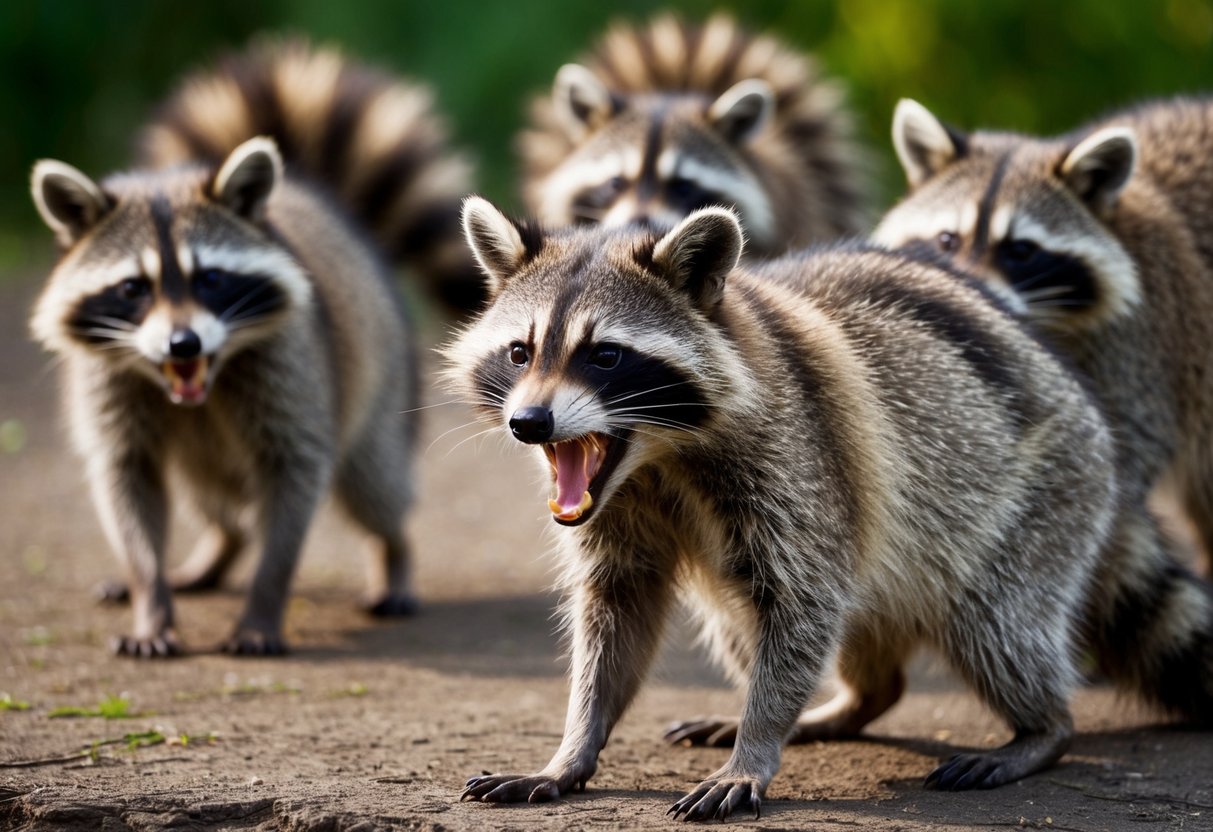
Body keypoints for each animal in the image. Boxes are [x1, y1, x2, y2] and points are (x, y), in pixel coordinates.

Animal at [27, 41, 466, 656]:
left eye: (210, 278)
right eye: (134, 288)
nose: (181, 343)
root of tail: (316, 194)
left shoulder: (291, 365)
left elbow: (295, 475)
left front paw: (263, 604)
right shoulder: (110, 381)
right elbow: (126, 481)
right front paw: (149, 598)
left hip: (383, 377)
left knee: (374, 484)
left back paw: (393, 554)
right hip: (204, 452)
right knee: (211, 495)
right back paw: (218, 549)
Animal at [443, 198, 1155, 818]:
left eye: (606, 355)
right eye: (520, 352)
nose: (529, 424)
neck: (657, 456)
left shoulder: (802, 462)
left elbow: (803, 604)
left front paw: (753, 749)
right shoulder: (617, 513)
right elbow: (617, 610)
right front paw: (573, 748)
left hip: (1045, 498)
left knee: (996, 623)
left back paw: (1043, 727)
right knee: (751, 623)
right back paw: (853, 702)